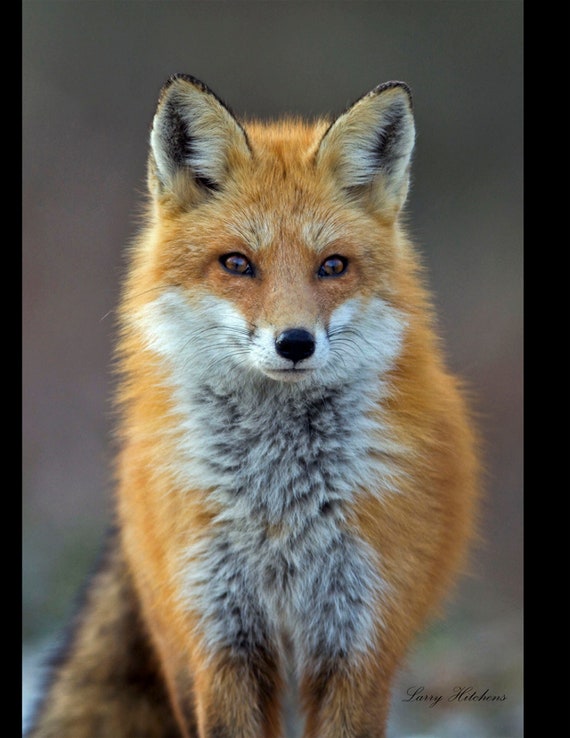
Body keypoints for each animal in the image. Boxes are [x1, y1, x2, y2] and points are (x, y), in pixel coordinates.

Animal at [27, 74, 479, 738]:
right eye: (238, 264)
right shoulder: (220, 639)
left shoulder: (358, 640)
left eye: (333, 266)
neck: (279, 504)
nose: (295, 343)